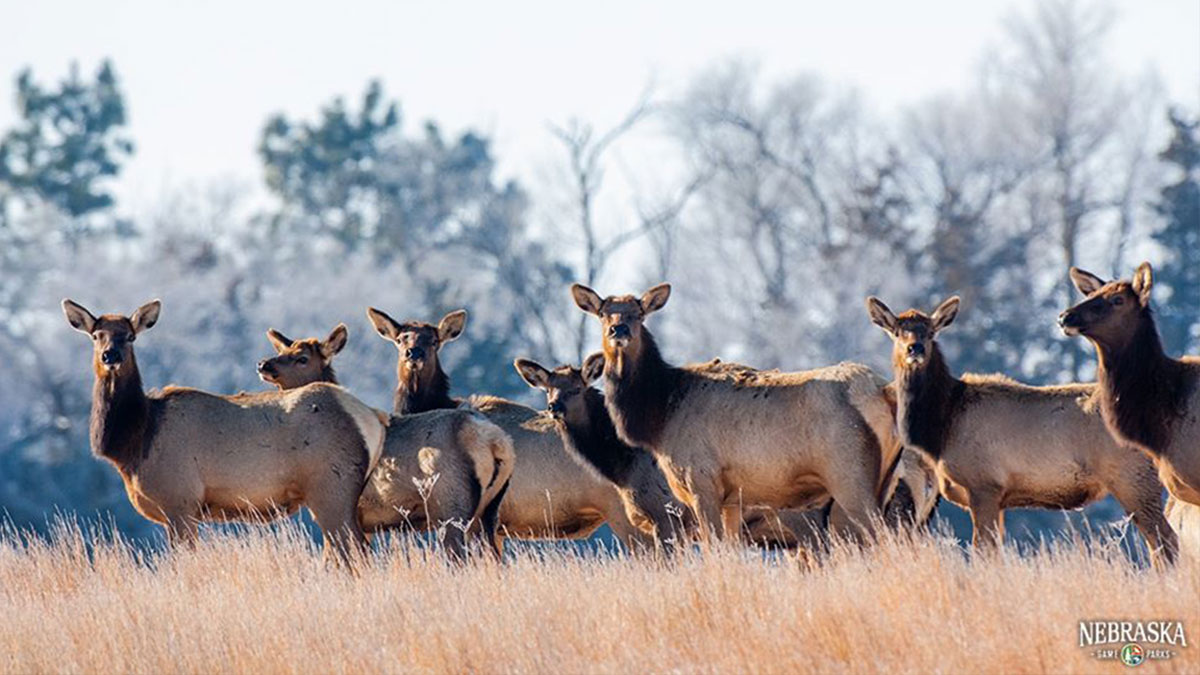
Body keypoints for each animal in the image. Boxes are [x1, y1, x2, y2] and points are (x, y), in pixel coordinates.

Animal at [62, 299, 387, 566]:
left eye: (130, 336)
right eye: (96, 335)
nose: (111, 355)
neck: (133, 442)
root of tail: (371, 419)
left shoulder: (179, 501)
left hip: (331, 487)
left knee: (354, 549)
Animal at [256, 324, 515, 559]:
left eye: (302, 358)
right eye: (283, 350)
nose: (264, 364)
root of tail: (497, 442)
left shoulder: (337, 505)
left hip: (451, 502)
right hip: (488, 511)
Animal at [571, 283, 903, 542]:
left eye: (639, 313)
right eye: (603, 313)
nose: (619, 329)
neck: (658, 416)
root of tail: (884, 392)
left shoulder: (700, 481)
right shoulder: (732, 499)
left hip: (849, 475)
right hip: (884, 480)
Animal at [867, 294, 1178, 566]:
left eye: (931, 332)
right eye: (897, 332)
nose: (915, 349)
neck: (941, 428)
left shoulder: (984, 485)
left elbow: (983, 553)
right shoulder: (998, 498)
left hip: (1132, 477)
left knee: (1166, 541)